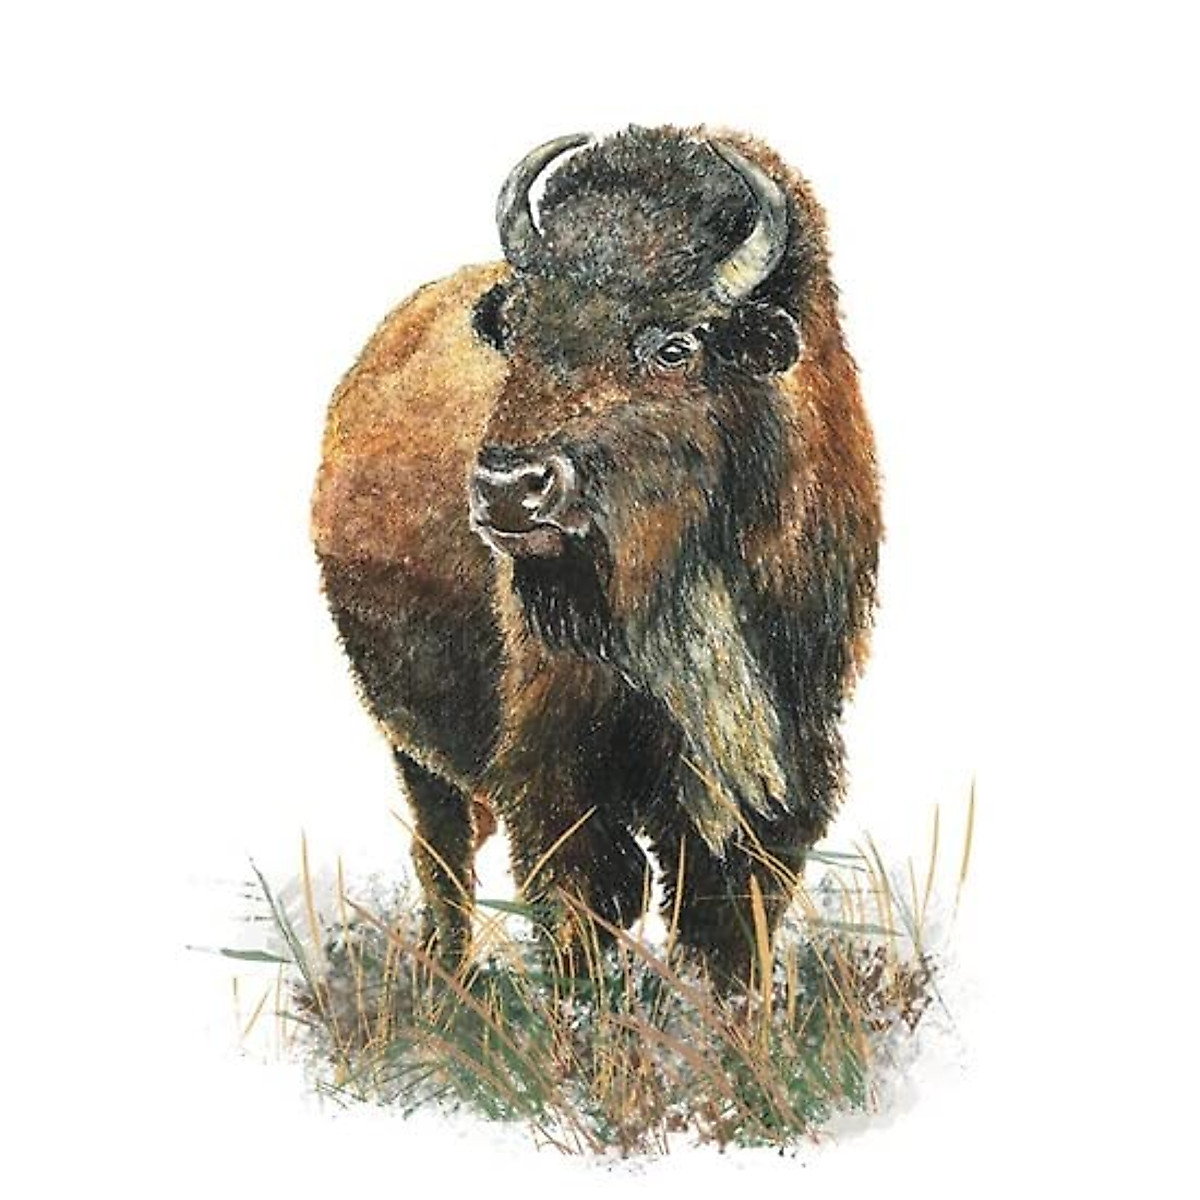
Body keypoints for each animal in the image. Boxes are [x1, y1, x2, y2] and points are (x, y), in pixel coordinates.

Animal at [311, 125, 881, 981]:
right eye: (520, 329)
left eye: (674, 346)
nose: (510, 488)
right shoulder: (560, 775)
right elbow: (584, 903)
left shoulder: (787, 766)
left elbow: (727, 922)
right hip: (410, 739)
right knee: (443, 854)